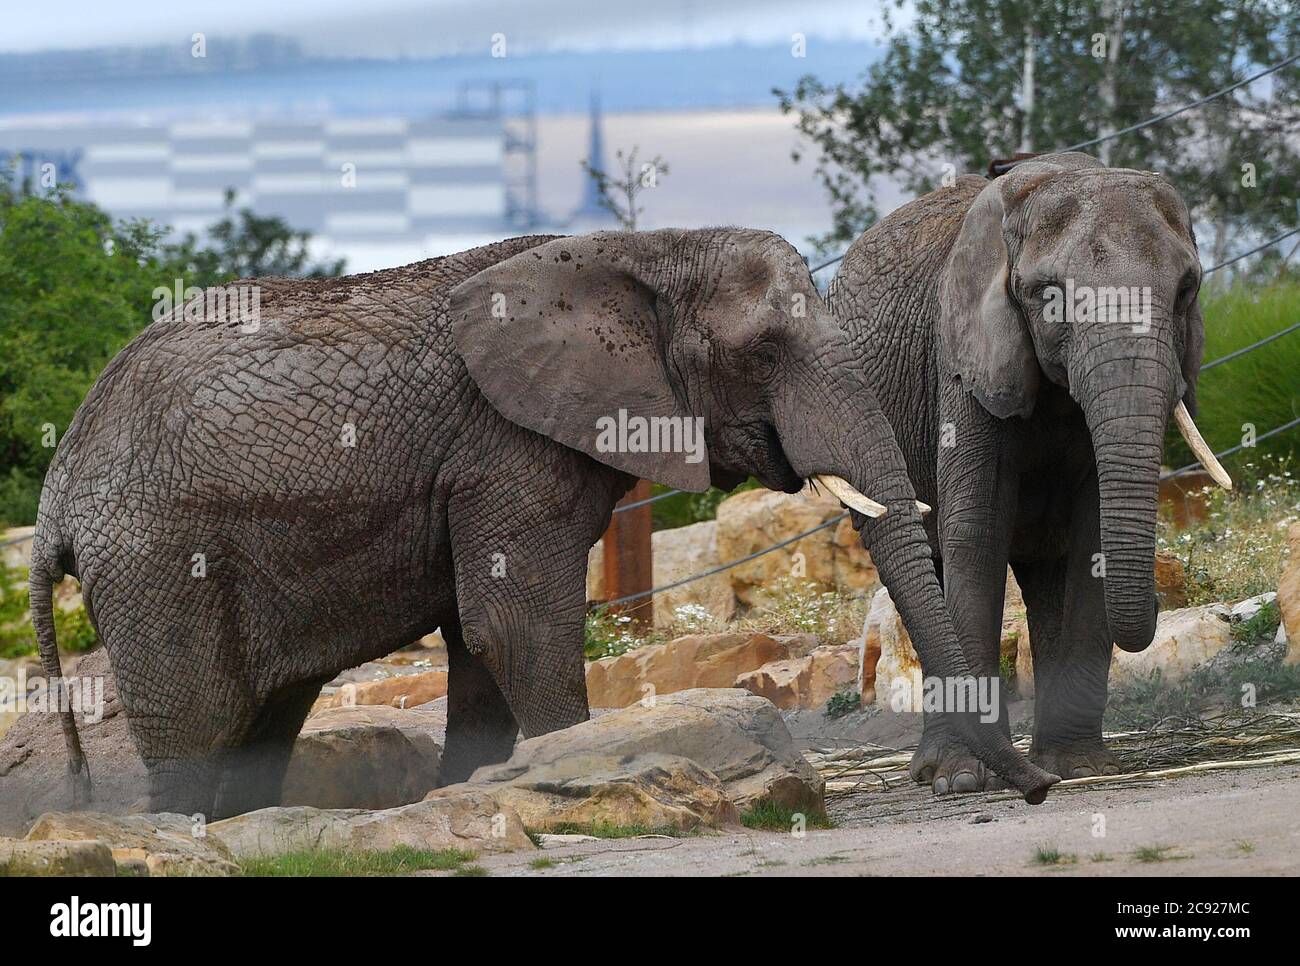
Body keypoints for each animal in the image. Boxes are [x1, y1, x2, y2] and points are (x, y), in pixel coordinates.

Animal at [29, 227, 1058, 820]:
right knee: (201, 722)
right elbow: (517, 628)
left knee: (264, 719)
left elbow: (482, 648)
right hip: (159, 559)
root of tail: (56, 490)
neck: (643, 250)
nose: (1041, 789)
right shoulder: (505, 445)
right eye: (764, 352)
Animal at [827, 152, 1232, 793]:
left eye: (1186, 290)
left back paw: (1048, 759)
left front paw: (1081, 768)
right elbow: (977, 534)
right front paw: (961, 781)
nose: (1157, 603)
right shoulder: (964, 360)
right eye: (1048, 295)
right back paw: (934, 770)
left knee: (1045, 572)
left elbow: (1092, 540)